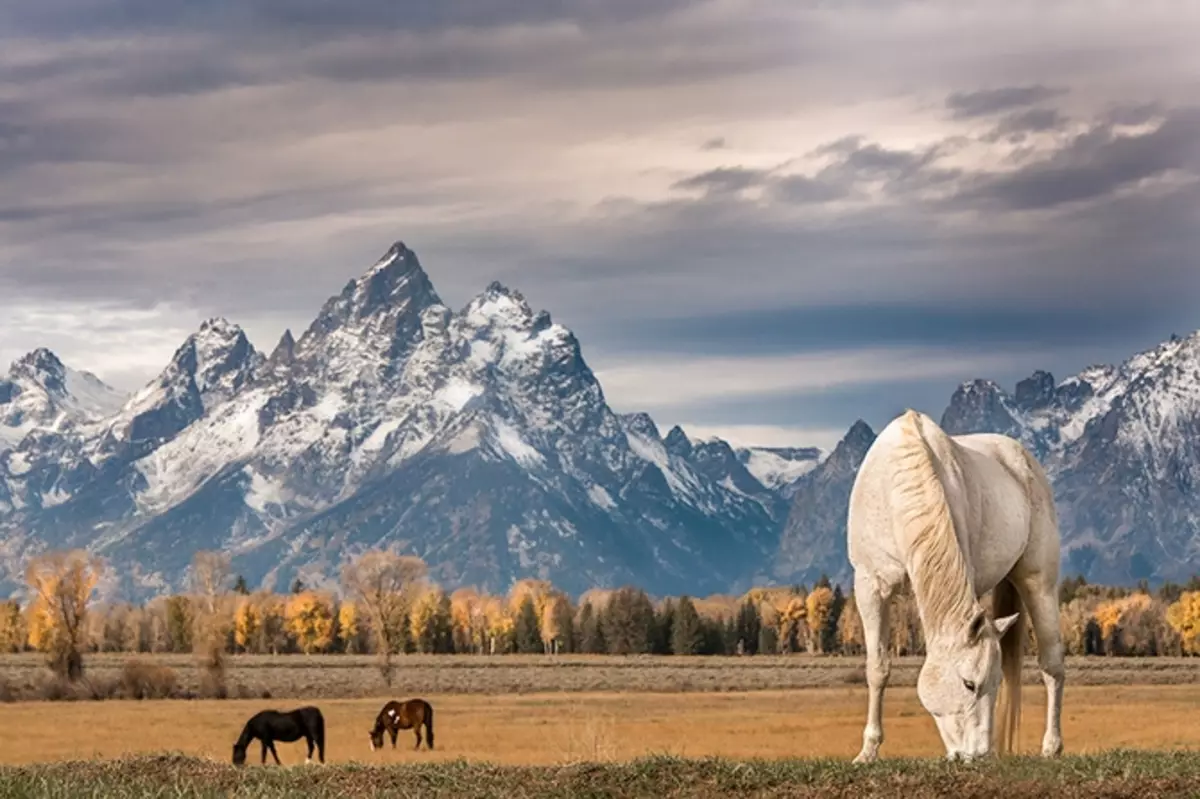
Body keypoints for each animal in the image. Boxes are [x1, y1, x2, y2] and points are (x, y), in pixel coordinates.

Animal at [844, 407, 1070, 763]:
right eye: (968, 684)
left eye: (990, 684)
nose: (978, 755)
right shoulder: (870, 586)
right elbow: (877, 668)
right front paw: (868, 752)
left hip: (1039, 583)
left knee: (1052, 664)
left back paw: (1052, 746)